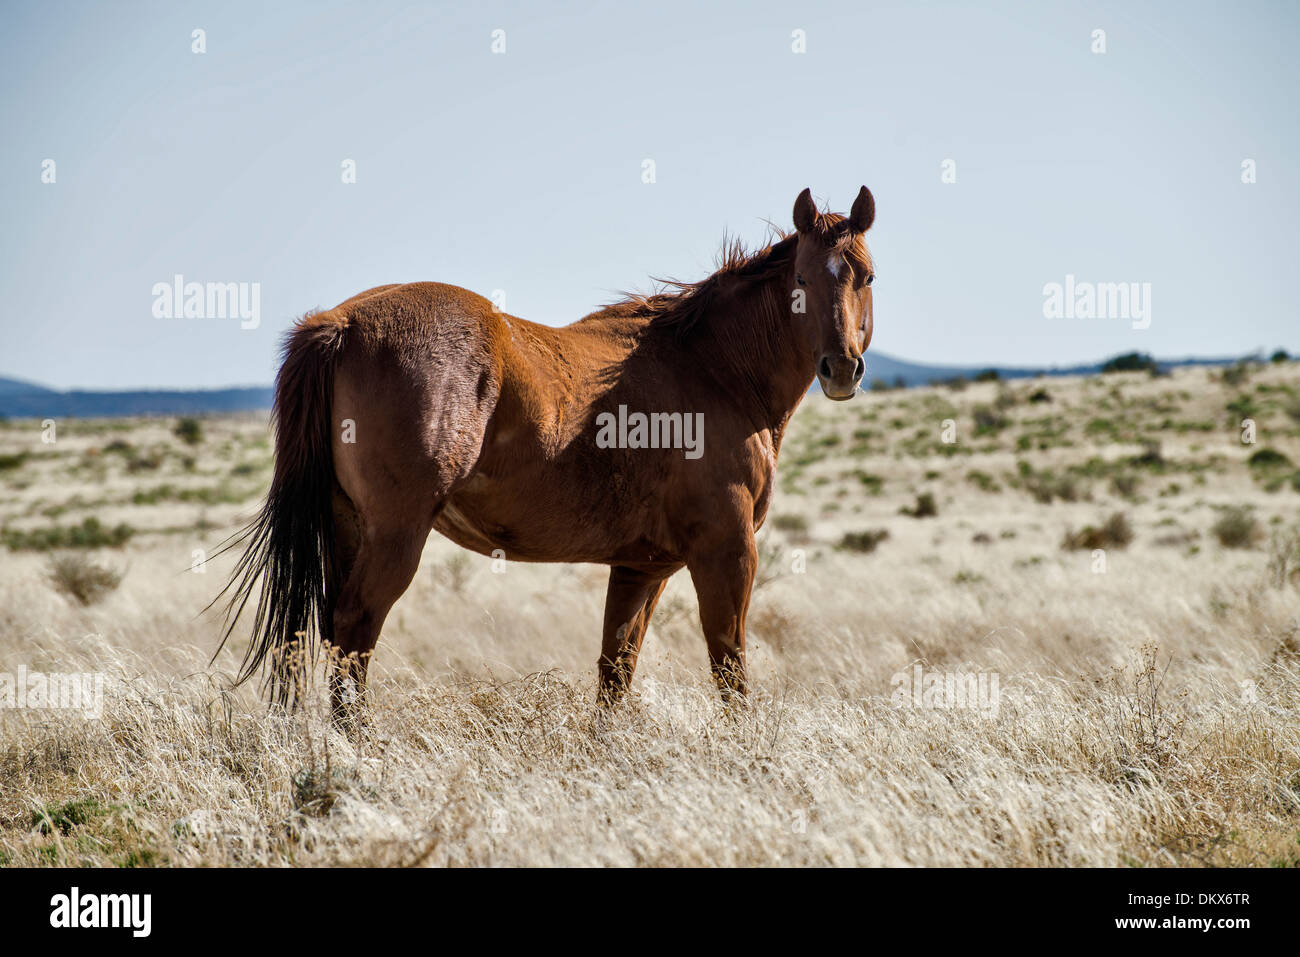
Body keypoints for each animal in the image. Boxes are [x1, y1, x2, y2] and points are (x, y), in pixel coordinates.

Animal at [215, 186, 876, 719]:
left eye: (864, 277)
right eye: (801, 281)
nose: (841, 368)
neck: (711, 367)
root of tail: (342, 323)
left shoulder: (640, 567)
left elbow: (616, 671)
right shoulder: (727, 550)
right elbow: (729, 665)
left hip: (346, 526)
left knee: (331, 632)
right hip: (394, 536)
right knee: (355, 631)